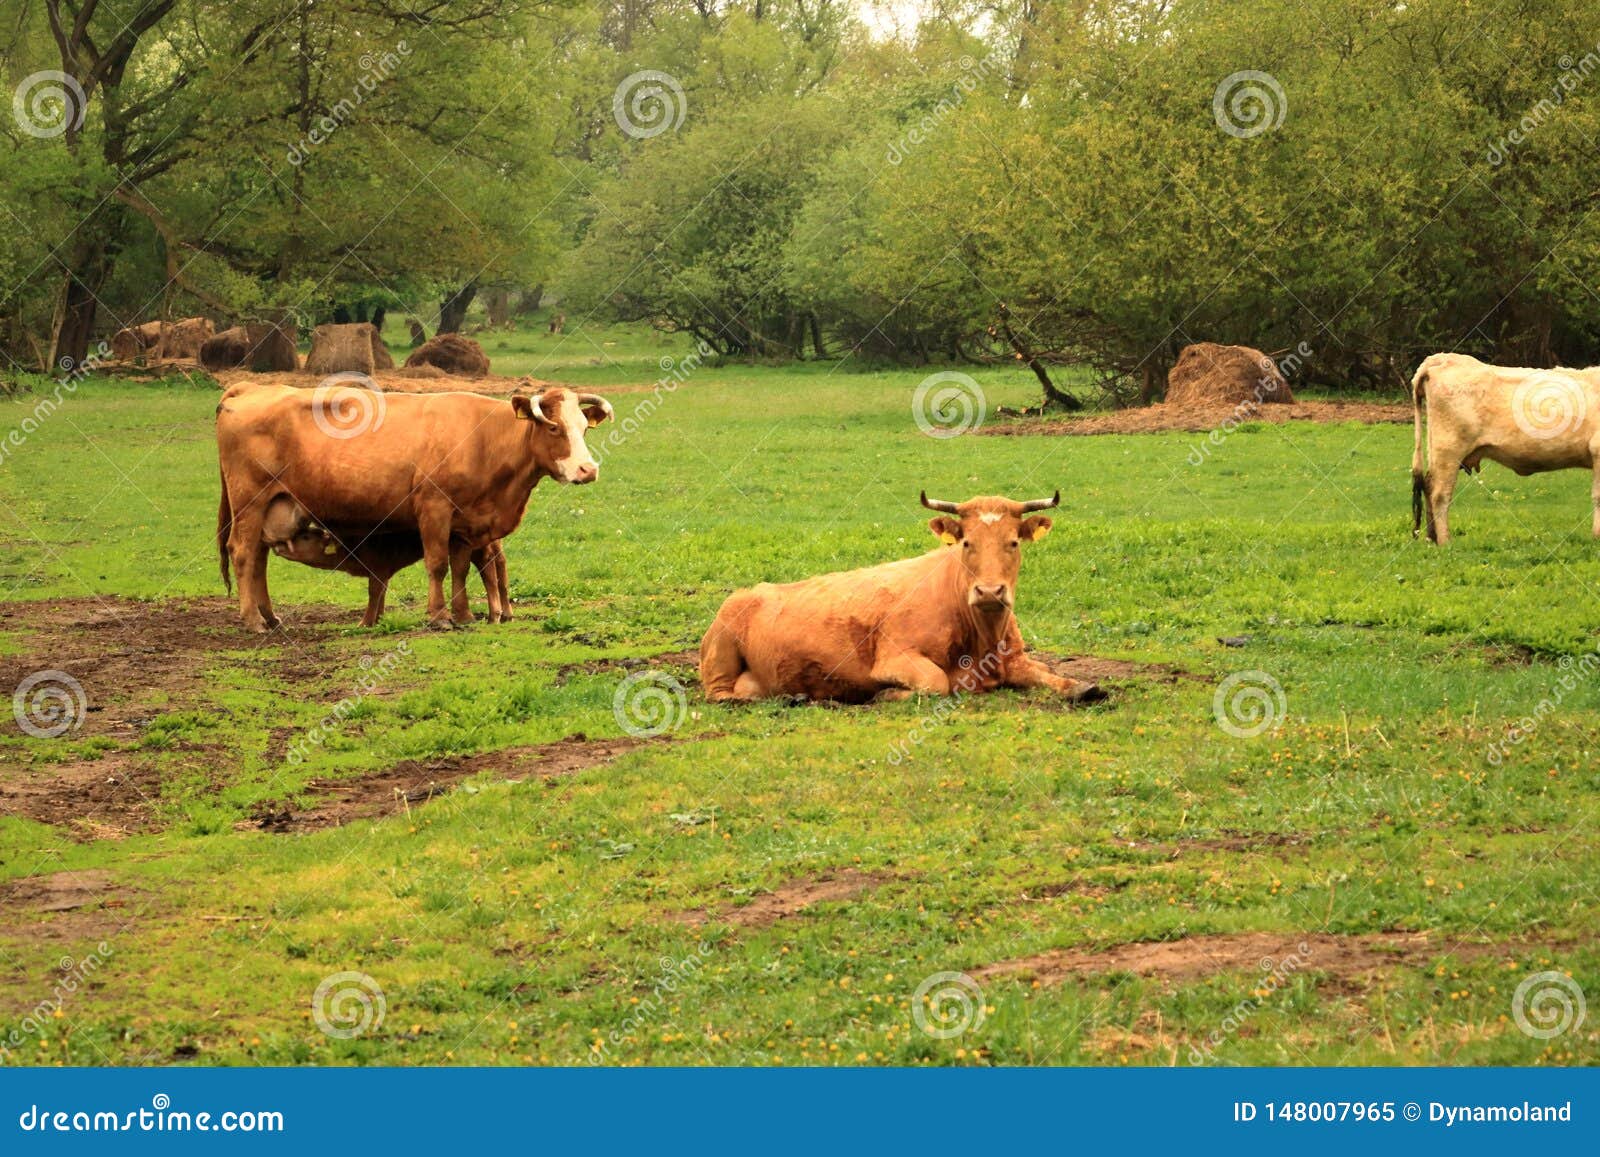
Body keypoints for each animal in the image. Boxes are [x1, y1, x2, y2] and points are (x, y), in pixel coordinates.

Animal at [258, 495, 511, 626]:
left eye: (305, 536)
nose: (278, 545)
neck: (353, 543)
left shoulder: (377, 569)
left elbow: (373, 593)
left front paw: (365, 622)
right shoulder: (383, 573)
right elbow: (381, 594)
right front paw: (378, 618)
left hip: (477, 547)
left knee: (488, 569)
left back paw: (494, 614)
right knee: (498, 566)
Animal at [699, 492, 1104, 704]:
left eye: (1014, 542)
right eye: (967, 543)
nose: (990, 591)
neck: (981, 636)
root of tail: (748, 593)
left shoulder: (1014, 660)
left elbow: (1048, 673)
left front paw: (1083, 686)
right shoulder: (895, 657)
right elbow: (937, 683)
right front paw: (886, 694)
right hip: (721, 651)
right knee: (720, 694)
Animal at [1412, 353, 1600, 543]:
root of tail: (1443, 357)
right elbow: (1598, 496)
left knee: (1428, 486)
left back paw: (1432, 539)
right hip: (1449, 450)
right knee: (1439, 494)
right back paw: (1445, 541)